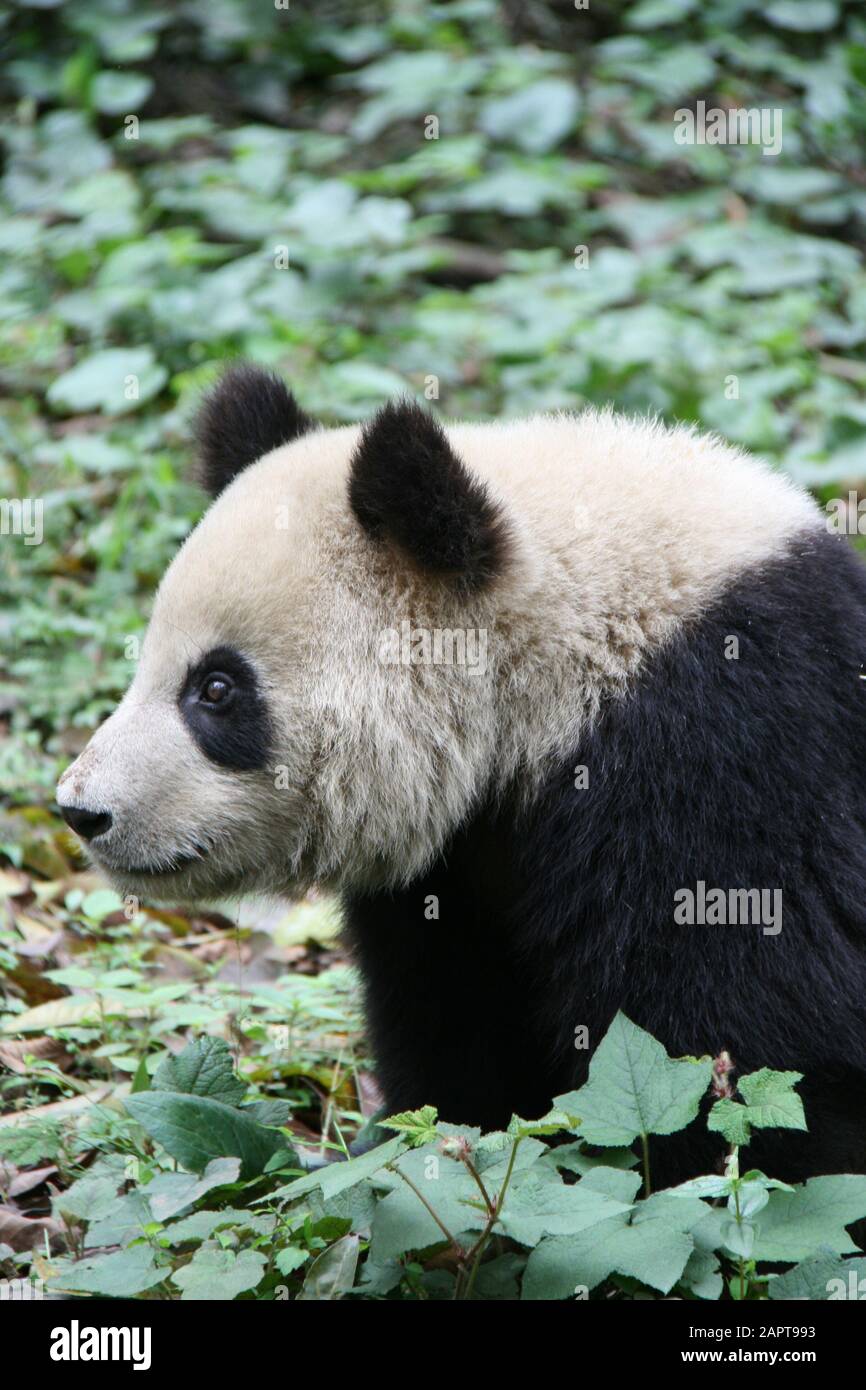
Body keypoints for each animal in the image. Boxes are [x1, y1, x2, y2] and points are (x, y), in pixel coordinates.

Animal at [57, 364, 866, 1186]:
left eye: (216, 689)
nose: (82, 811)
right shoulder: (455, 855)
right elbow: (452, 1011)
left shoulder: (721, 747)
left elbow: (734, 1034)